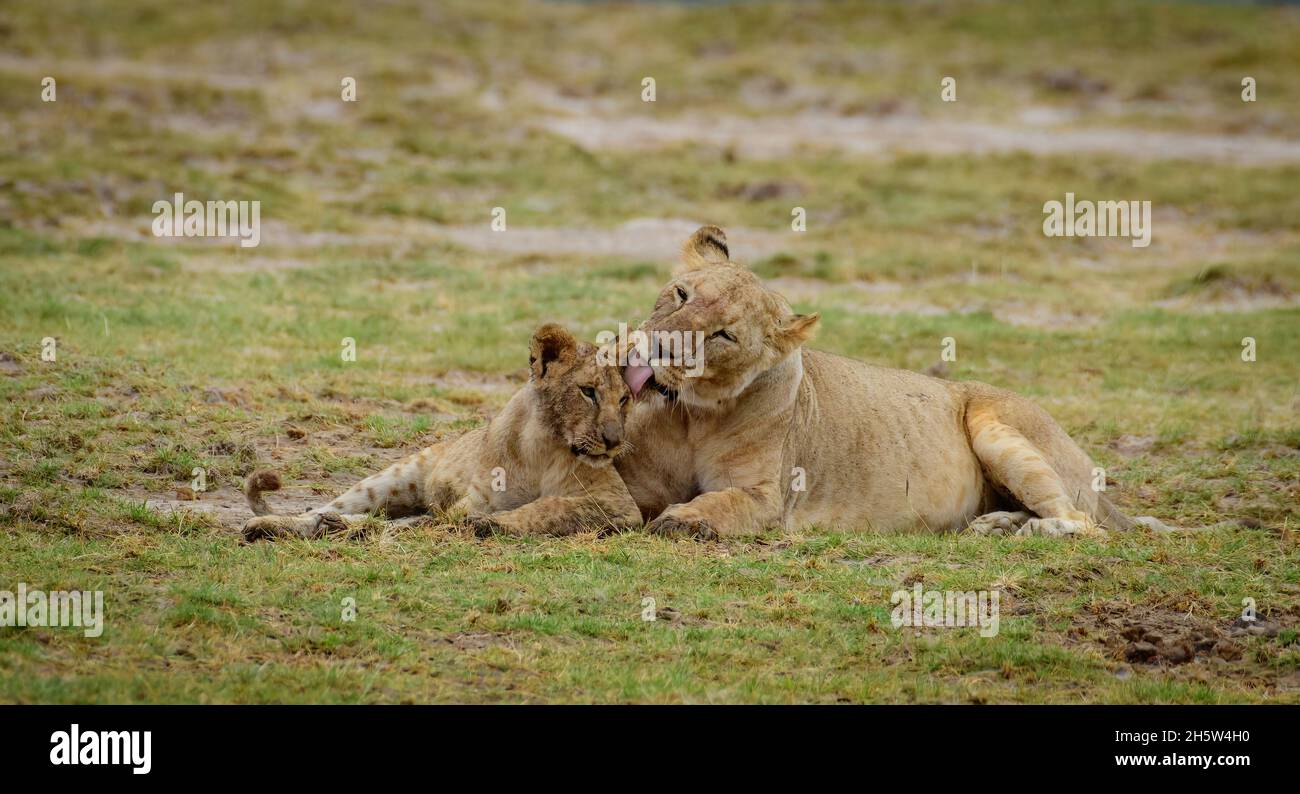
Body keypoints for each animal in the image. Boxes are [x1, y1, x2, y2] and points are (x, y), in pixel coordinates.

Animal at [241, 323, 641, 541]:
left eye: (624, 398)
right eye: (587, 392)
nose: (614, 442)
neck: (543, 447)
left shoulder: (620, 506)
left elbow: (553, 506)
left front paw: (492, 525)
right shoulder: (475, 497)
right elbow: (438, 520)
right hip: (392, 479)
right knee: (343, 511)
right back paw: (273, 525)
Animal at [615, 225, 1140, 539]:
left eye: (723, 334)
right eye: (681, 294)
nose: (656, 347)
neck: (692, 414)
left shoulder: (769, 499)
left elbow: (722, 504)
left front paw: (680, 519)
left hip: (998, 430)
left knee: (1084, 524)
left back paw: (1019, 531)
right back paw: (994, 524)